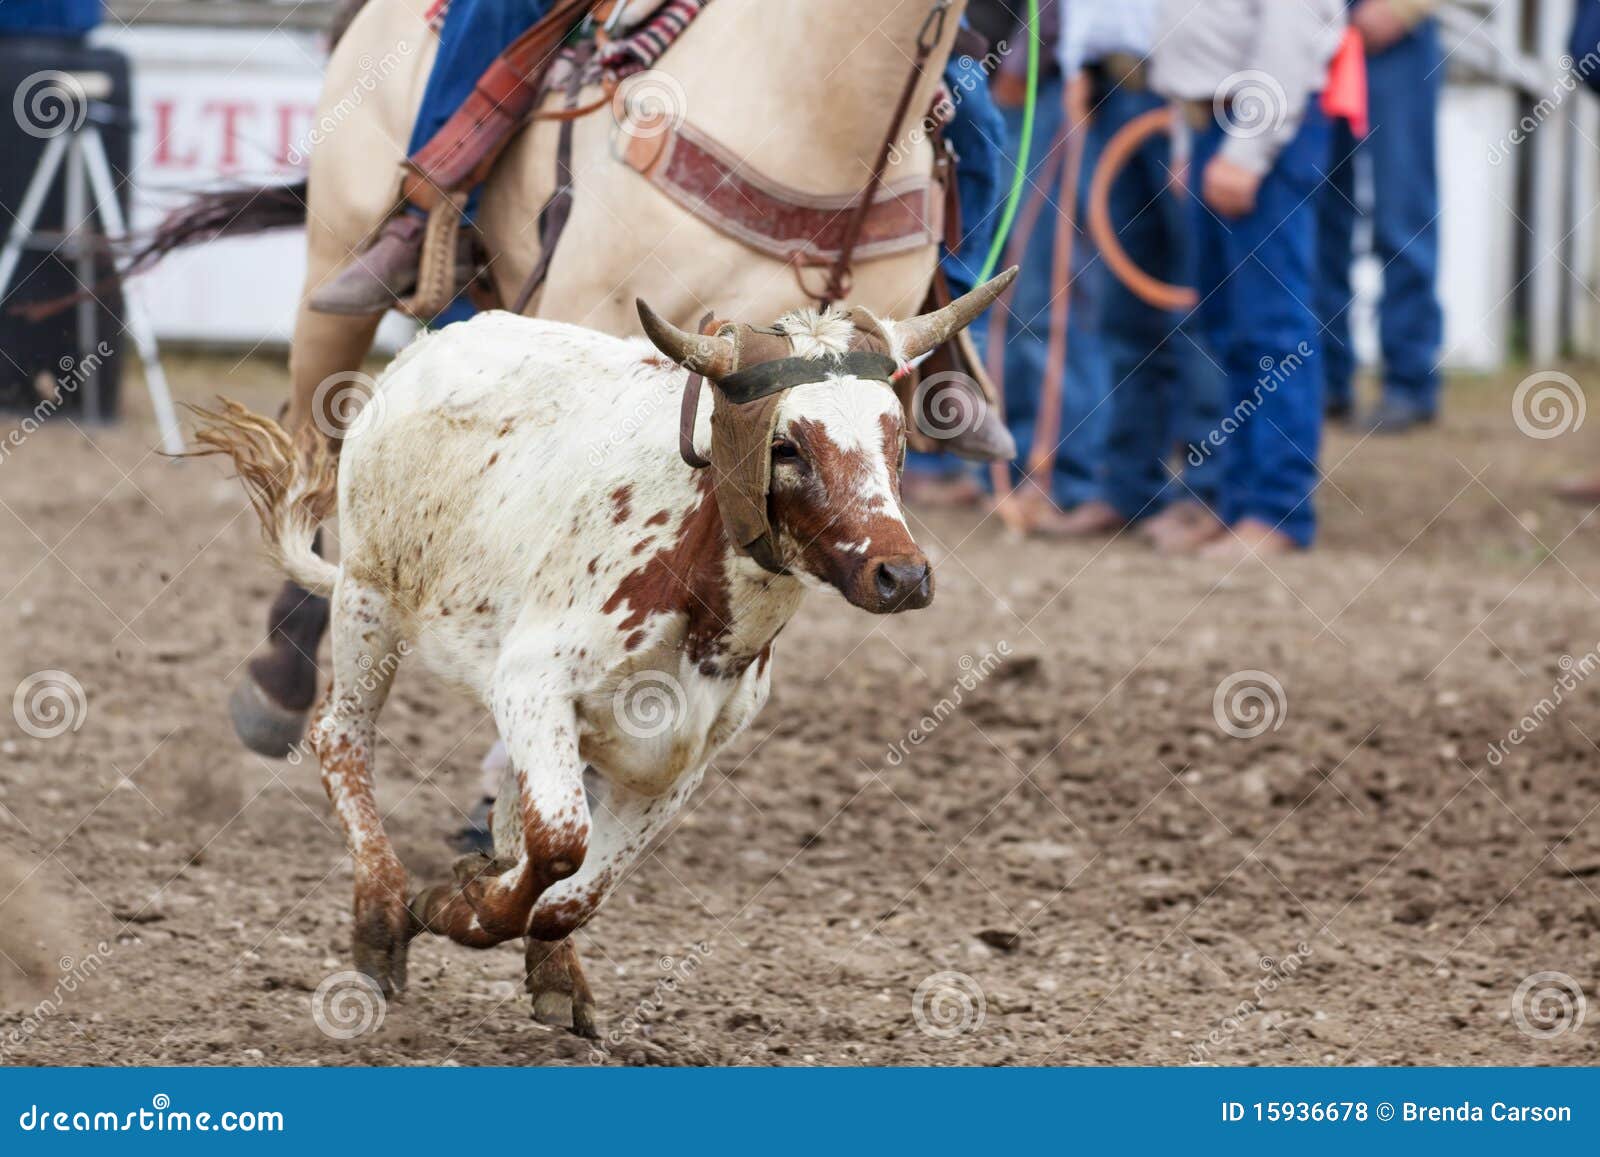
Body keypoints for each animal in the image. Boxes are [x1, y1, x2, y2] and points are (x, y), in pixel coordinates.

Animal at [190, 268, 1013, 1036]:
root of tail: (427, 347)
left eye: (895, 439)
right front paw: (458, 904)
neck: (698, 596)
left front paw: (535, 953)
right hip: (368, 600)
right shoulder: (532, 684)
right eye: (785, 446)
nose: (901, 575)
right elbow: (561, 843)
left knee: (507, 819)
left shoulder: (685, 760)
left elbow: (575, 888)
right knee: (341, 738)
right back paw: (382, 915)